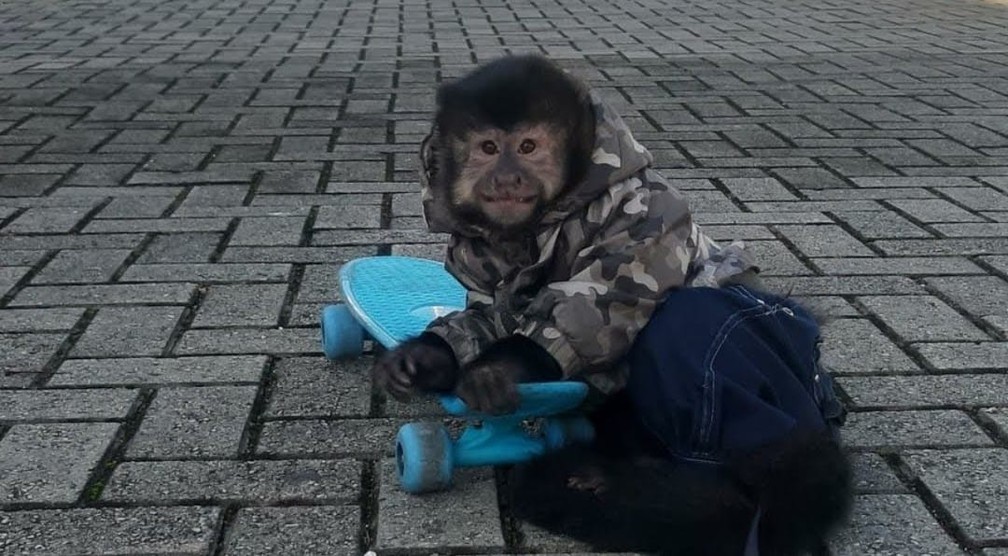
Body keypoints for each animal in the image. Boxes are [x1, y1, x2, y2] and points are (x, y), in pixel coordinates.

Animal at [371, 53, 852, 555]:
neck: (537, 225)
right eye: (487, 147)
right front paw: (424, 358)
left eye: (527, 146)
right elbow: (490, 314)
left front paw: (500, 370)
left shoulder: (637, 212)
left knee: (691, 322)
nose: (506, 177)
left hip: (773, 344)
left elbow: (601, 304)